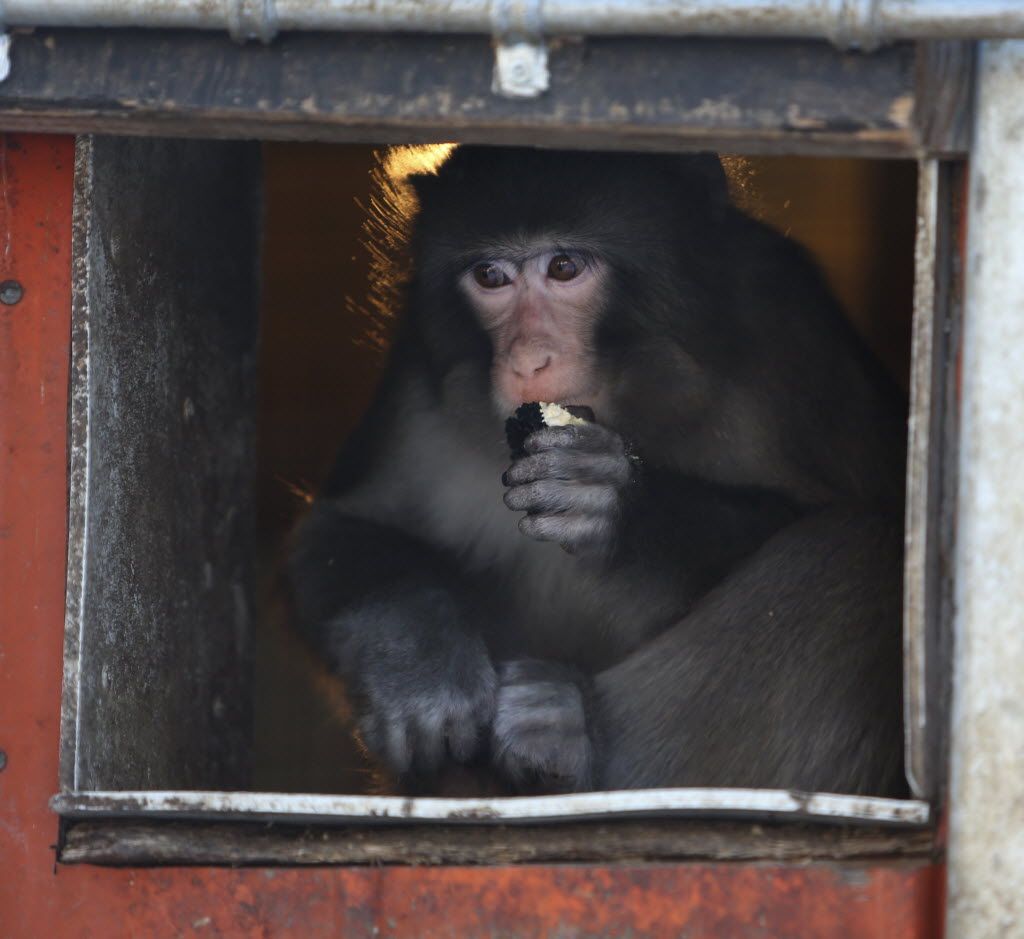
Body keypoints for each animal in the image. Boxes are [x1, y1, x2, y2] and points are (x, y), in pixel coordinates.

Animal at [287, 145, 908, 798]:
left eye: (564, 267)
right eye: (490, 277)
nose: (527, 361)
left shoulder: (789, 337)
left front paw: (616, 505)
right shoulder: (420, 366)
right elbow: (343, 528)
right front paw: (419, 669)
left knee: (858, 549)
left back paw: (578, 734)